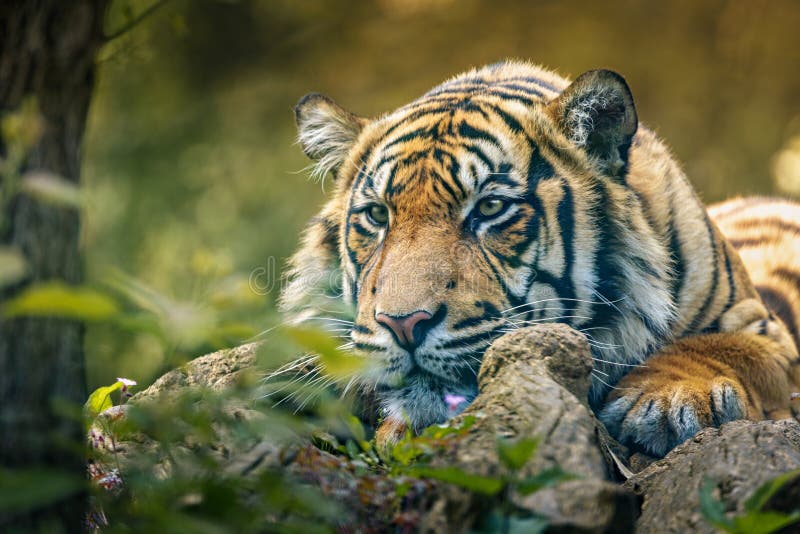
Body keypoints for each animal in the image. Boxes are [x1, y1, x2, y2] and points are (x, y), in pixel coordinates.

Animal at [279, 61, 800, 457]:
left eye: (490, 208)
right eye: (377, 215)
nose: (403, 324)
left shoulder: (763, 329)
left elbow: (726, 346)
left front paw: (669, 399)